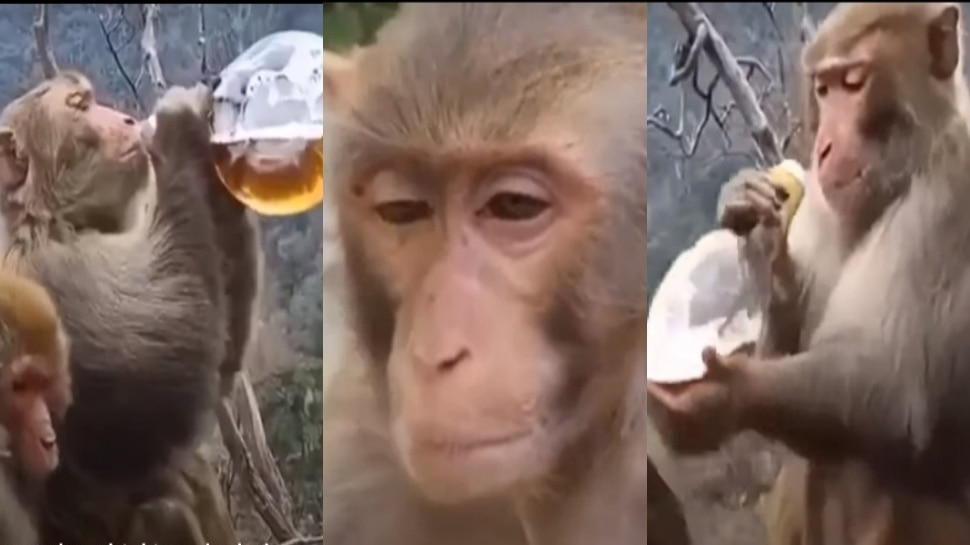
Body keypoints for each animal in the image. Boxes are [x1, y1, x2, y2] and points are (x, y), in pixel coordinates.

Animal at [0, 71, 251, 543]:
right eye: (80, 106)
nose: (129, 119)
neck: (45, 218)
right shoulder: (49, 278)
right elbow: (156, 397)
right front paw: (178, 120)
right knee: (163, 513)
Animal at [649, 3, 970, 544]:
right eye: (824, 88)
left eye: (854, 83)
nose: (822, 147)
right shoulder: (820, 199)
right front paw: (753, 224)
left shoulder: (954, 189)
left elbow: (900, 403)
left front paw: (728, 393)